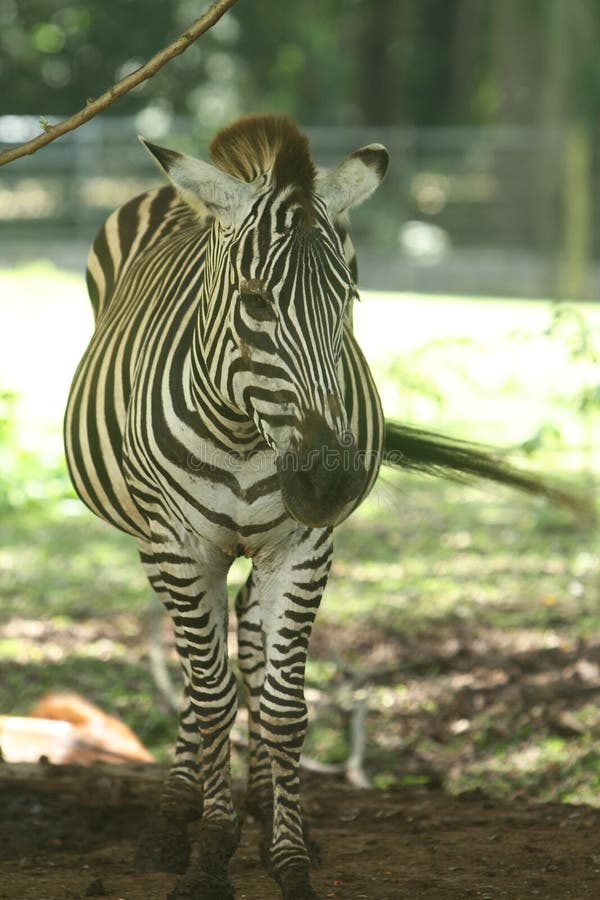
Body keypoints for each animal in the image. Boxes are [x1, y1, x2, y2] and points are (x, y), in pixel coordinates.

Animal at [64, 114, 573, 900]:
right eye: (254, 301)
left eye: (351, 302)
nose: (328, 484)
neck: (247, 435)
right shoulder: (183, 545)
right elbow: (212, 697)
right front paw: (209, 853)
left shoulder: (303, 548)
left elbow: (281, 705)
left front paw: (287, 854)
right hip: (156, 542)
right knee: (199, 669)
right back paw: (176, 818)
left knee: (245, 646)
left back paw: (264, 808)